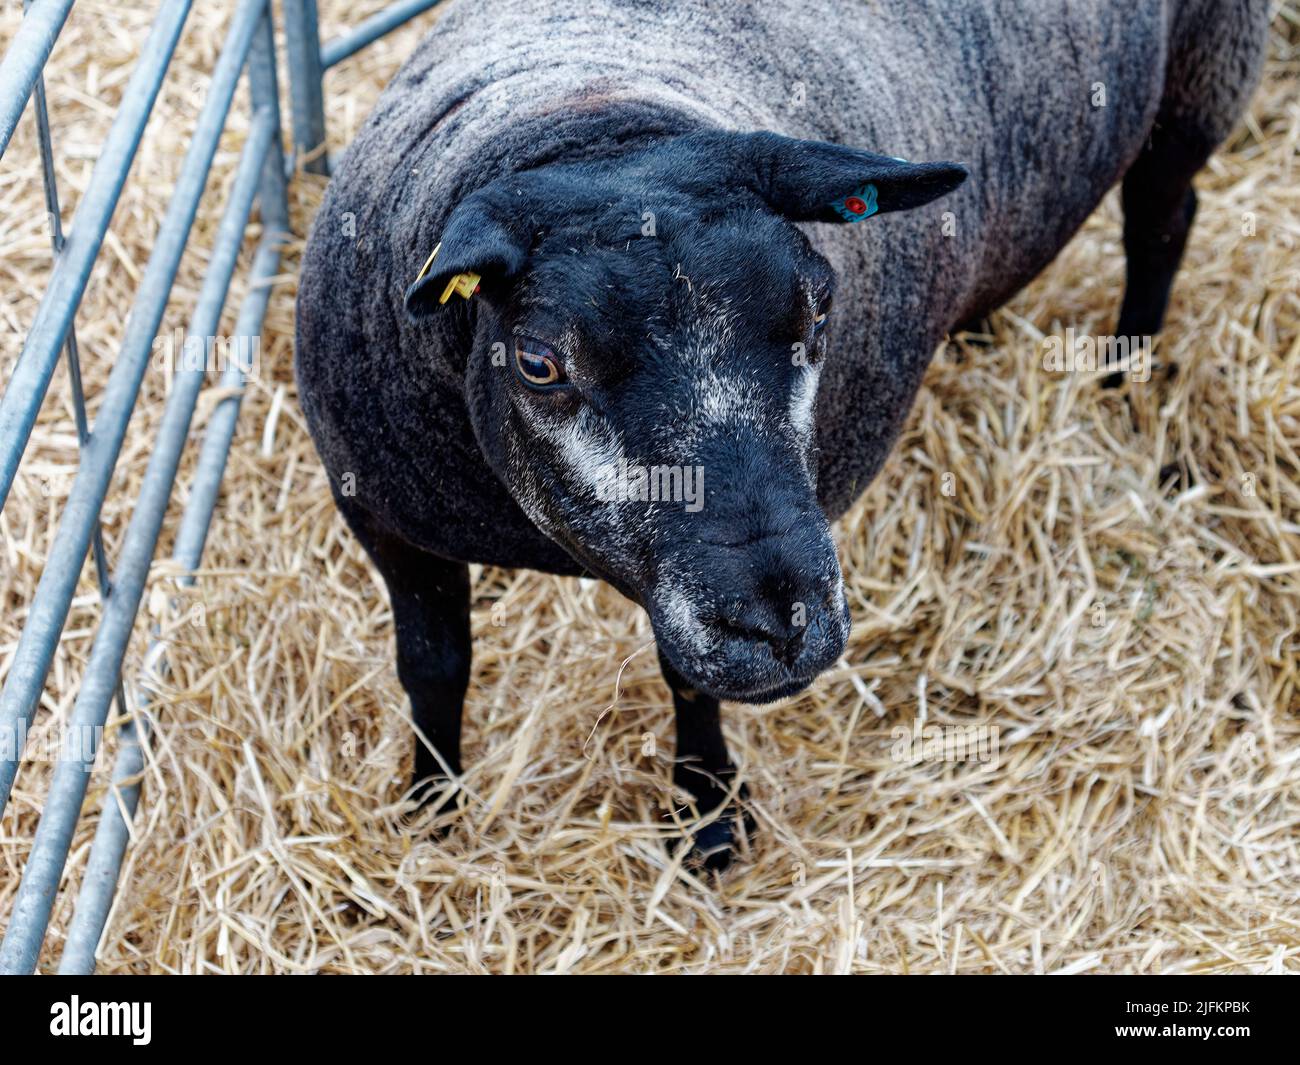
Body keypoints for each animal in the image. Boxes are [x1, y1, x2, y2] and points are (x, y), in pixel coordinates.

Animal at [295, 0, 1270, 869]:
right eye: (538, 362)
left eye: (820, 305)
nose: (780, 622)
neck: (588, 116)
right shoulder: (377, 514)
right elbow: (434, 667)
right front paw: (431, 810)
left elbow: (686, 675)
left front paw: (709, 815)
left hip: (1202, 81)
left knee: (1163, 218)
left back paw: (1126, 377)